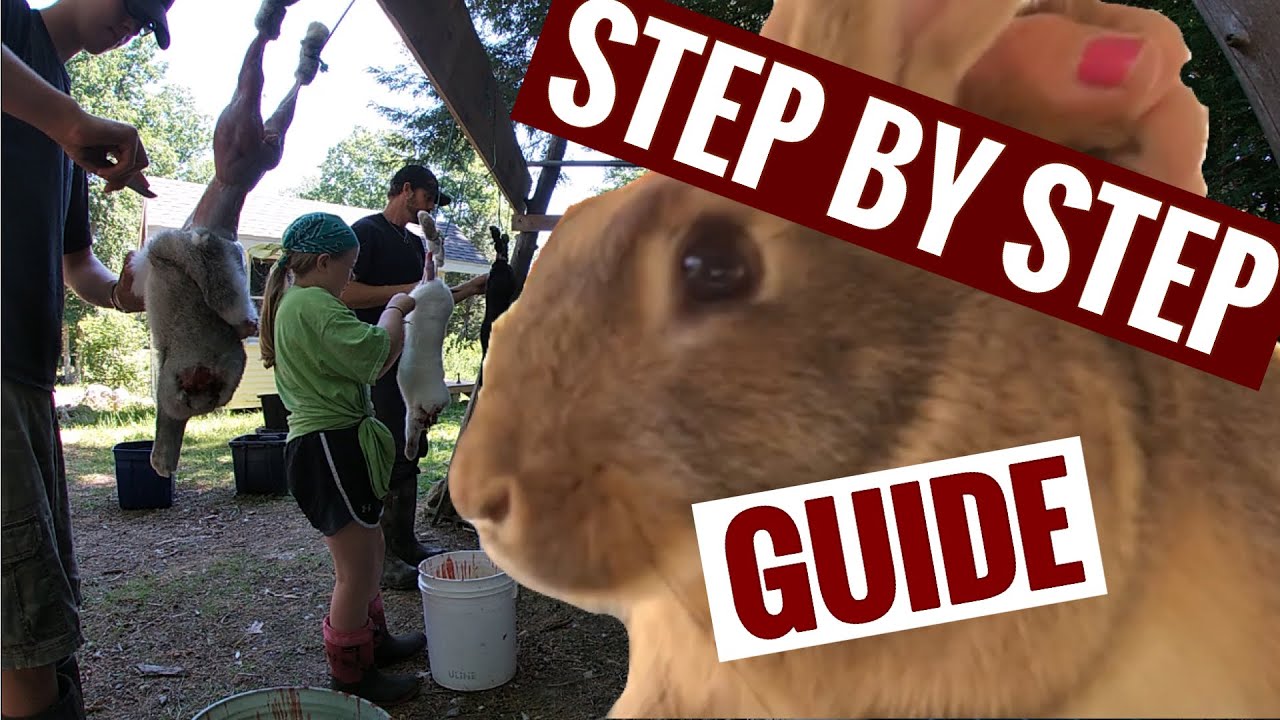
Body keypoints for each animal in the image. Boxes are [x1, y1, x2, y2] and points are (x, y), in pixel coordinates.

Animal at [131, 0, 330, 477]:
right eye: (200, 390)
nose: (200, 393)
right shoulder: (196, 367)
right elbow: (198, 265)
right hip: (245, 149)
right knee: (256, 122)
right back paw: (295, 44)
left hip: (247, 152)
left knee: (258, 115)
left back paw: (291, 41)